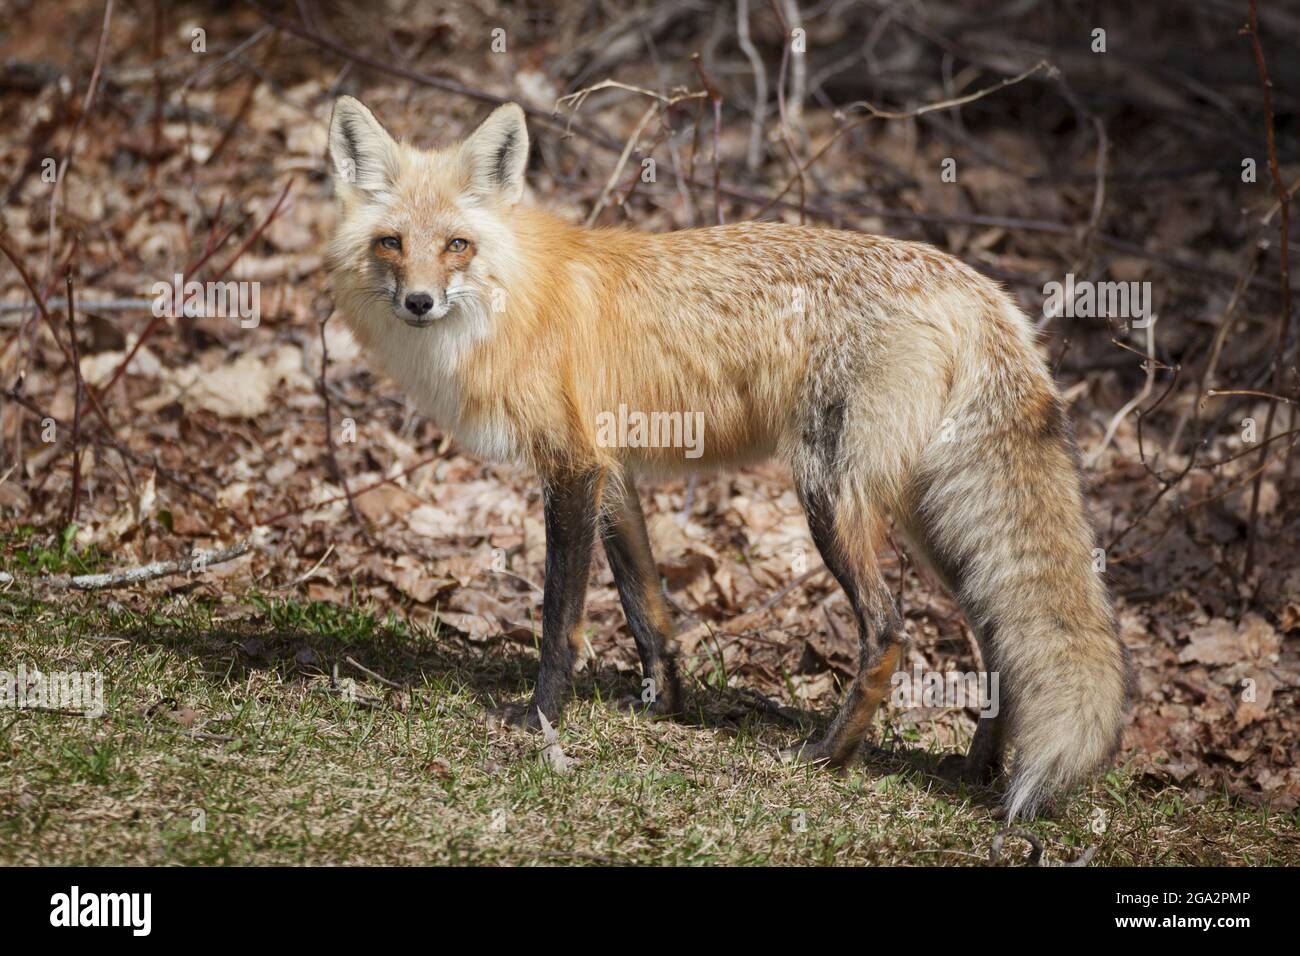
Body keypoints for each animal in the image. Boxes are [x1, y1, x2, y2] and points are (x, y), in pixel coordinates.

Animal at [324, 95, 1133, 818]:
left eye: (457, 245)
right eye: (392, 243)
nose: (420, 302)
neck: (511, 299)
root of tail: (973, 284)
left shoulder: (572, 465)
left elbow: (561, 619)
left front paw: (542, 719)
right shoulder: (611, 469)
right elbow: (647, 606)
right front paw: (665, 706)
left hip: (829, 494)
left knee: (889, 631)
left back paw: (830, 756)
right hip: (927, 518)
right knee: (1000, 641)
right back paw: (977, 770)